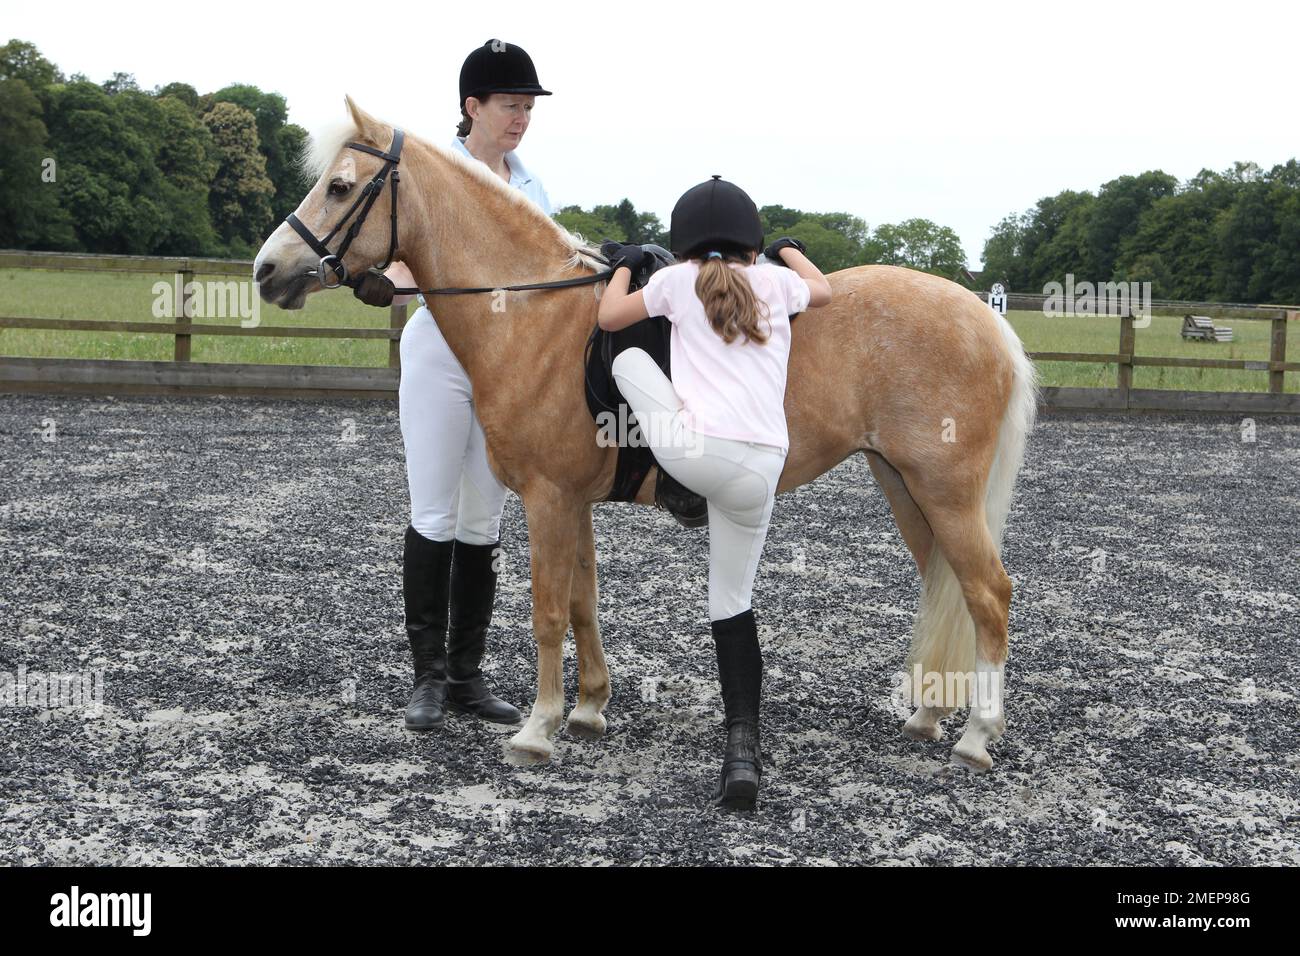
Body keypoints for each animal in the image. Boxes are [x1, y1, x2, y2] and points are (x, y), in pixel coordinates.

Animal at [253, 97, 1039, 773]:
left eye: (340, 186)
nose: (267, 270)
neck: (532, 317)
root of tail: (985, 317)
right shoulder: (572, 500)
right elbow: (582, 602)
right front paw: (588, 710)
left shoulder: (548, 498)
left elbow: (547, 610)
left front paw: (537, 729)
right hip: (905, 487)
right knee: (946, 588)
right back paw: (928, 717)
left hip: (944, 492)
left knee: (988, 593)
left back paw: (976, 737)